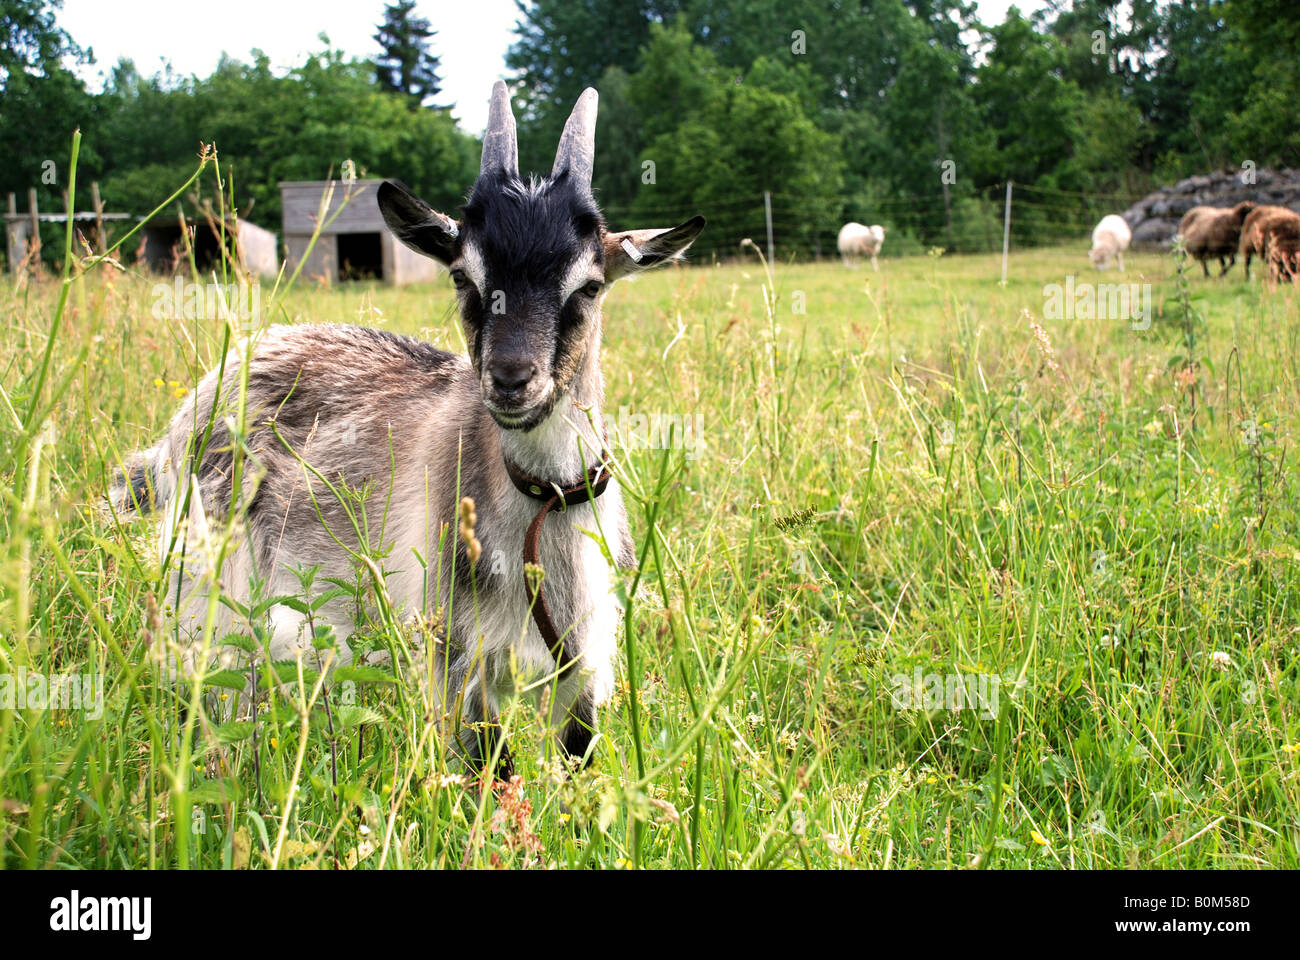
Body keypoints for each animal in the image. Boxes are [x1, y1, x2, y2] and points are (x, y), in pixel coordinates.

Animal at [110, 82, 705, 778]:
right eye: (463, 277)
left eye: (587, 287)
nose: (511, 379)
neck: (542, 512)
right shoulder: (455, 658)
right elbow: (486, 770)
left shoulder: (581, 666)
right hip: (208, 578)